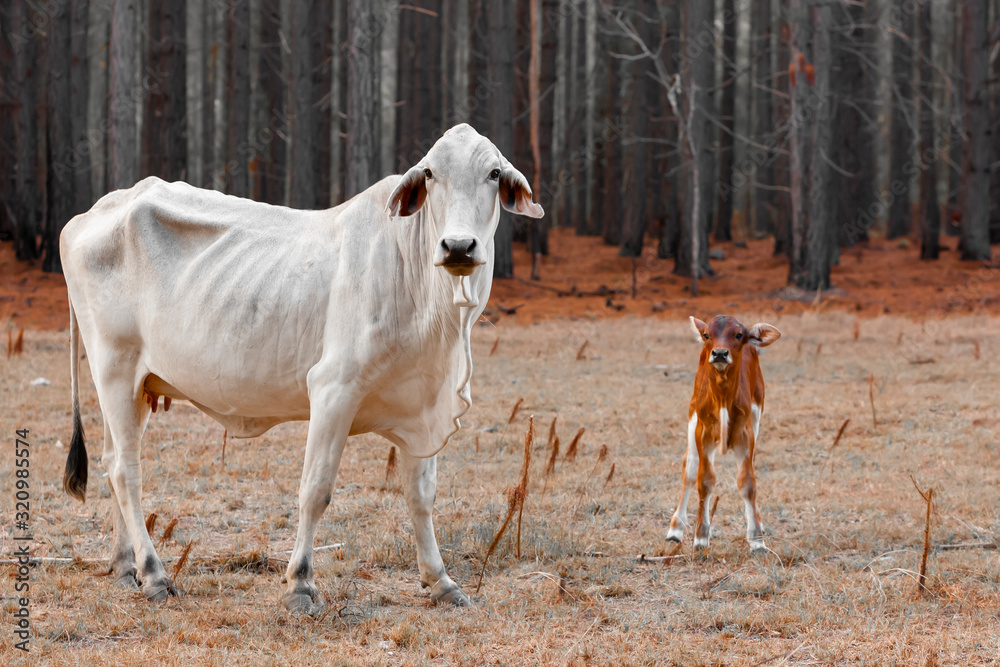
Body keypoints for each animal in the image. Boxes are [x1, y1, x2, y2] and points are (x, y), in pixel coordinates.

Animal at [59, 123, 544, 612]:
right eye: (429, 173)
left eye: (494, 172)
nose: (459, 246)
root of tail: (91, 213)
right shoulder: (333, 389)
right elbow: (316, 490)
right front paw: (301, 584)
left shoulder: (422, 402)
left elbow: (421, 496)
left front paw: (441, 580)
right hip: (115, 369)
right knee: (126, 471)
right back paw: (154, 573)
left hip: (137, 386)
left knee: (112, 462)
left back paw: (125, 567)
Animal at [666, 315, 781, 552]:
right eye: (706, 335)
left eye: (738, 335)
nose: (719, 353)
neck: (722, 398)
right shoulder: (702, 431)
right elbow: (704, 481)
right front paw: (701, 537)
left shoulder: (746, 433)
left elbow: (748, 482)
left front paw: (756, 538)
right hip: (692, 417)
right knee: (689, 467)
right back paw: (675, 529)